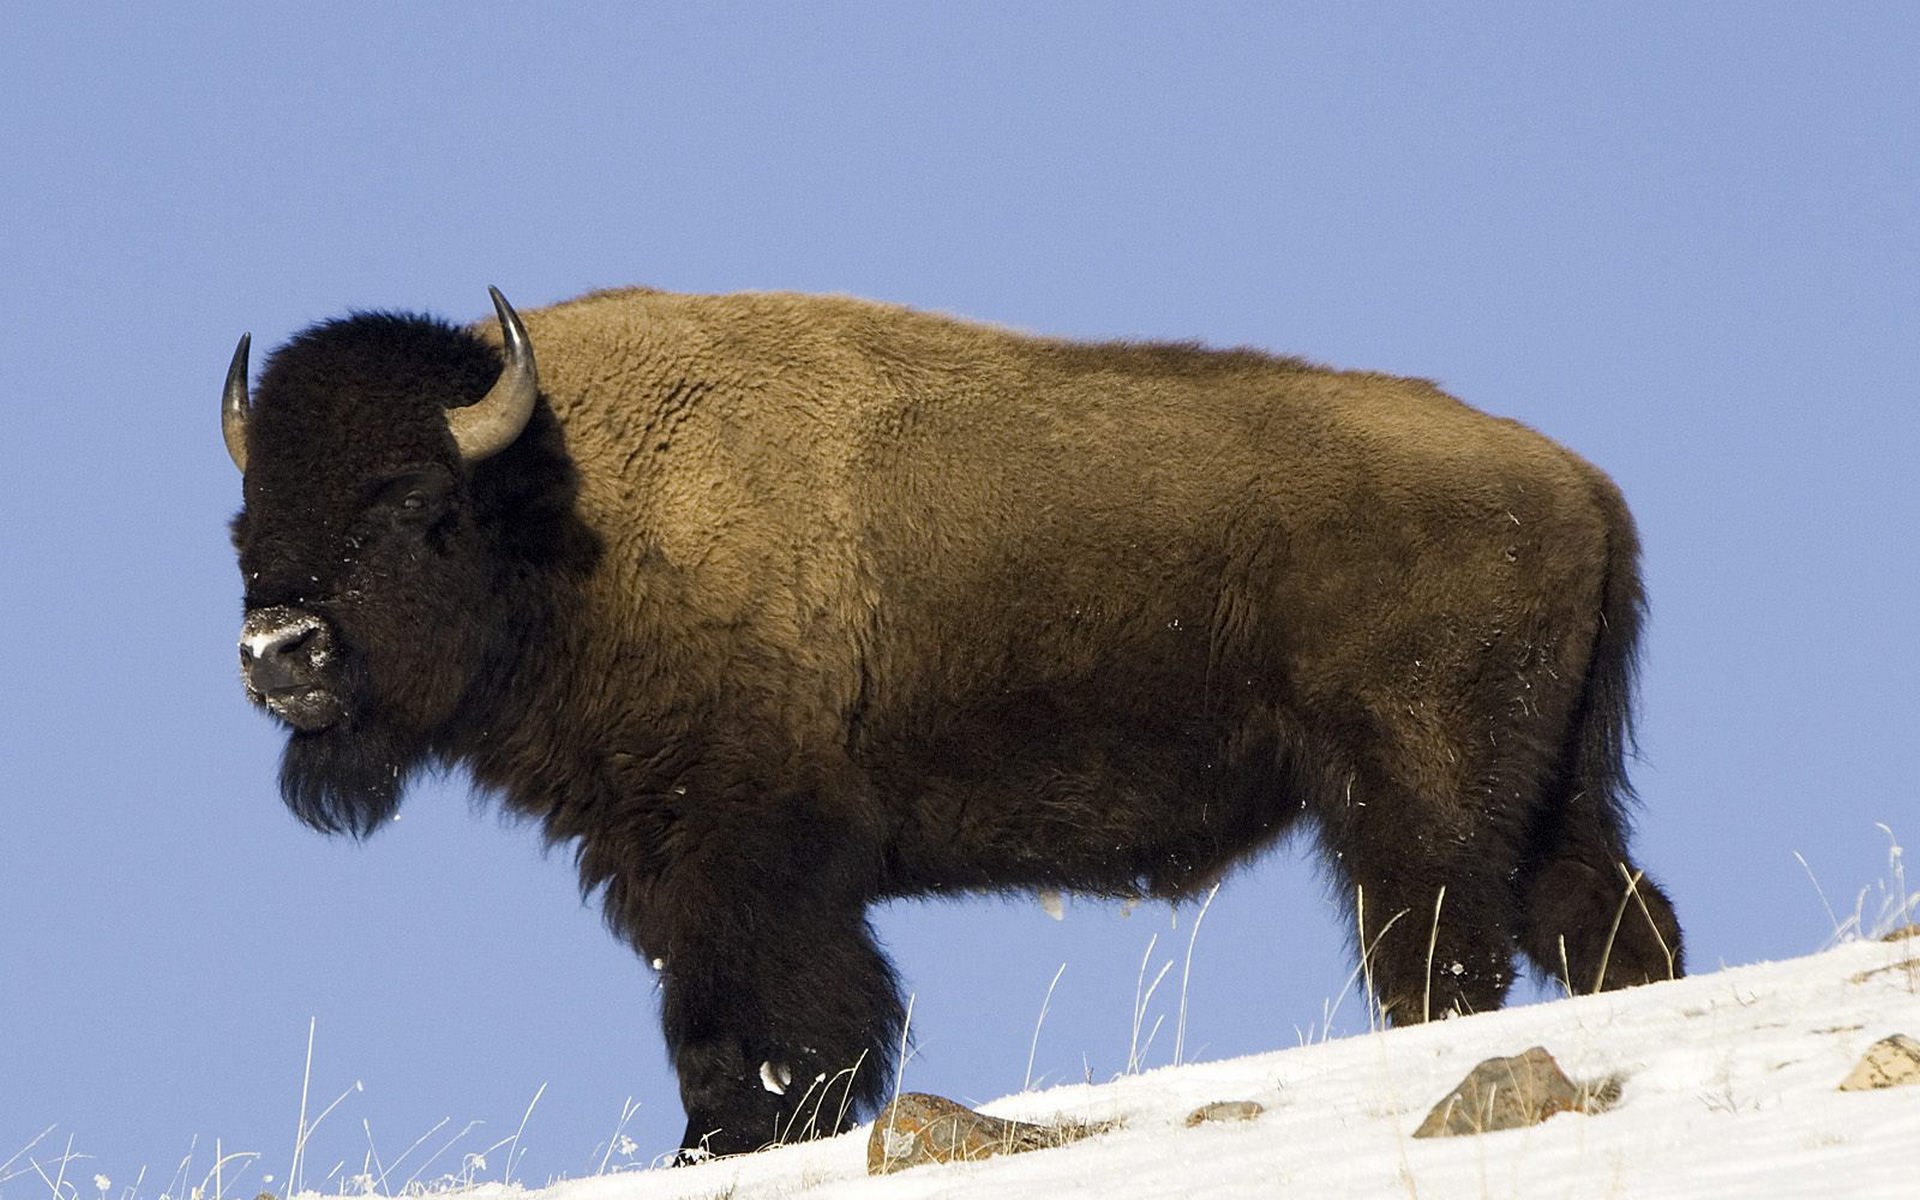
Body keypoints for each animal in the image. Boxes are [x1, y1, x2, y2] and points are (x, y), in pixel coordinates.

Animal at [224, 285, 1682, 1157]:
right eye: (245, 522)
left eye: (415, 505)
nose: (279, 652)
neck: (568, 505)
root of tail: (1581, 483)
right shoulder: (662, 861)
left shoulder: (749, 866)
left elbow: (771, 1026)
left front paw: (729, 1143)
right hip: (1549, 797)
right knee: (1608, 924)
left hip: (1416, 795)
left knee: (1441, 954)